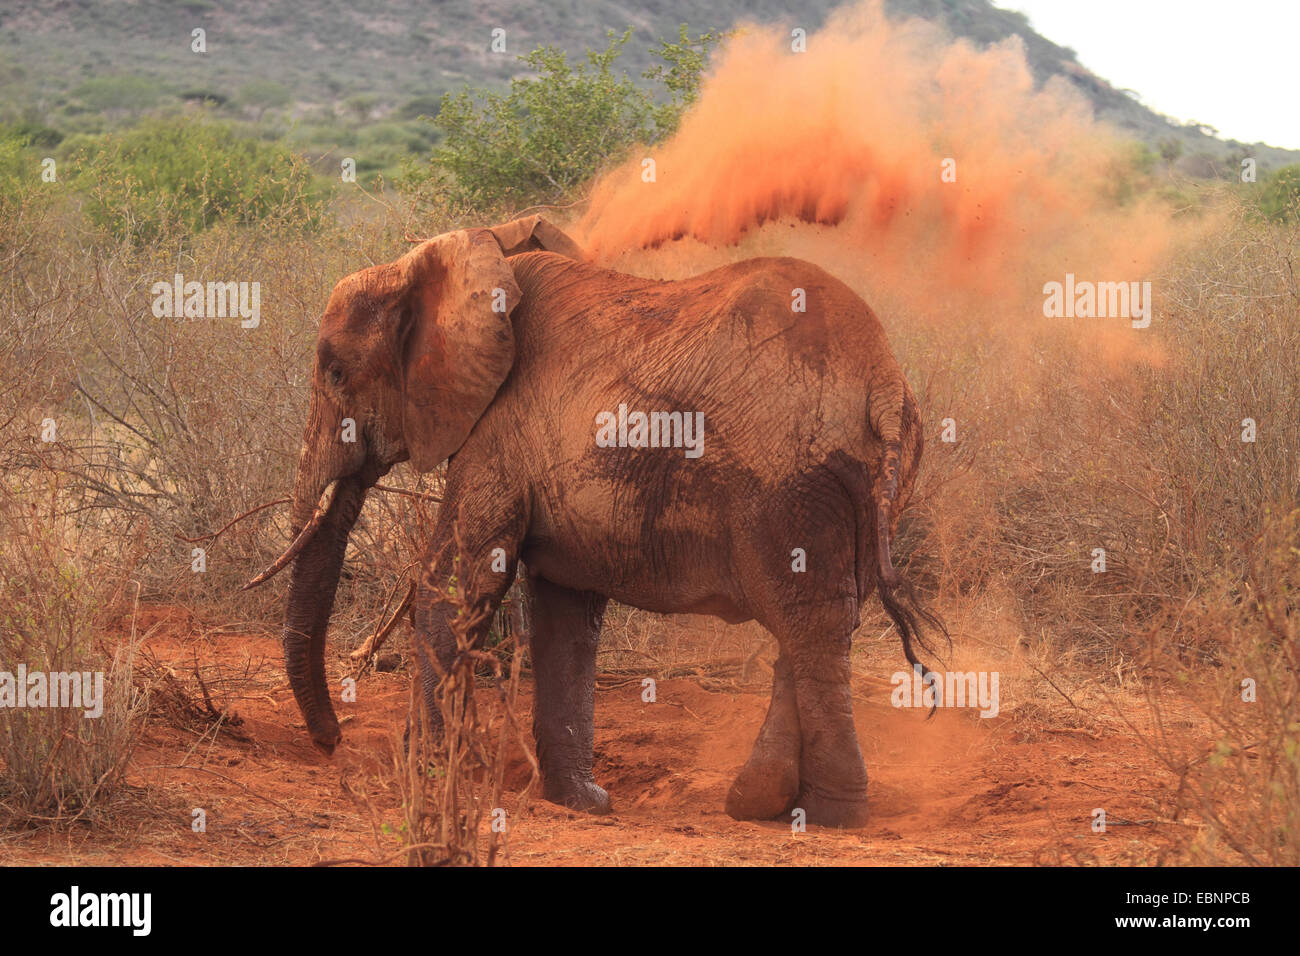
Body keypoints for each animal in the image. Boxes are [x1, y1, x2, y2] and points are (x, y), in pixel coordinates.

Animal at [247, 214, 945, 828]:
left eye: (336, 372)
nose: (332, 742)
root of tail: (883, 383)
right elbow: (566, 611)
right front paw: (582, 803)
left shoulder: (498, 430)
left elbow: (456, 581)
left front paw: (421, 774)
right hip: (868, 486)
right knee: (822, 624)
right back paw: (762, 803)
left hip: (790, 481)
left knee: (809, 623)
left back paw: (826, 815)